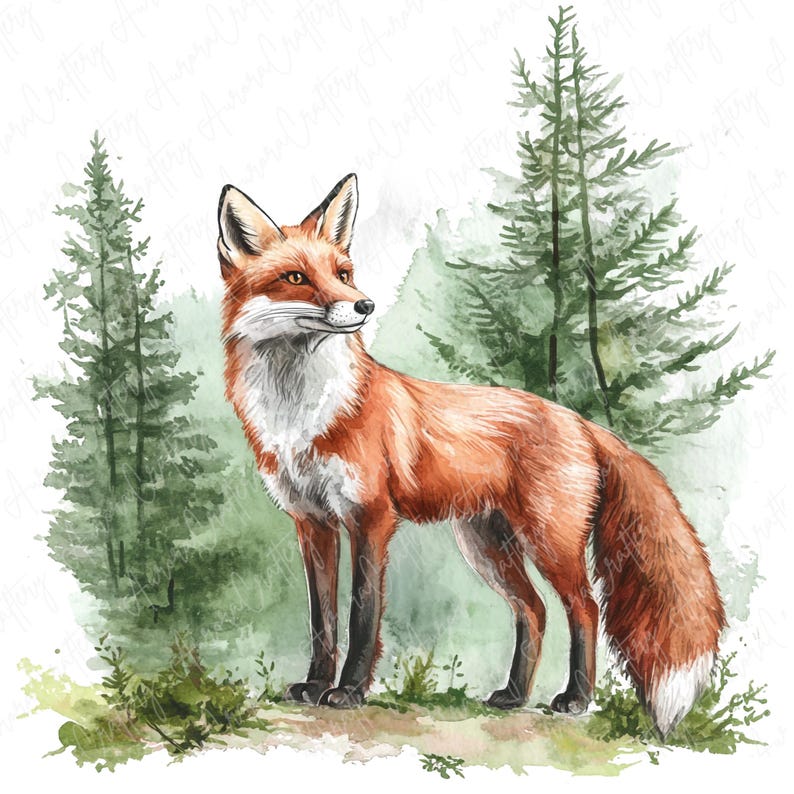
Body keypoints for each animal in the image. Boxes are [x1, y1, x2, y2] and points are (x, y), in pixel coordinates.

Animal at [216, 173, 726, 737]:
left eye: (344, 274)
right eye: (296, 277)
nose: (364, 305)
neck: (302, 417)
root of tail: (579, 421)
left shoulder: (371, 517)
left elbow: (362, 612)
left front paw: (348, 691)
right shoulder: (313, 523)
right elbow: (321, 619)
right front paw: (314, 684)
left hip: (548, 541)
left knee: (584, 608)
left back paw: (575, 698)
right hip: (487, 547)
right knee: (534, 611)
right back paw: (514, 695)